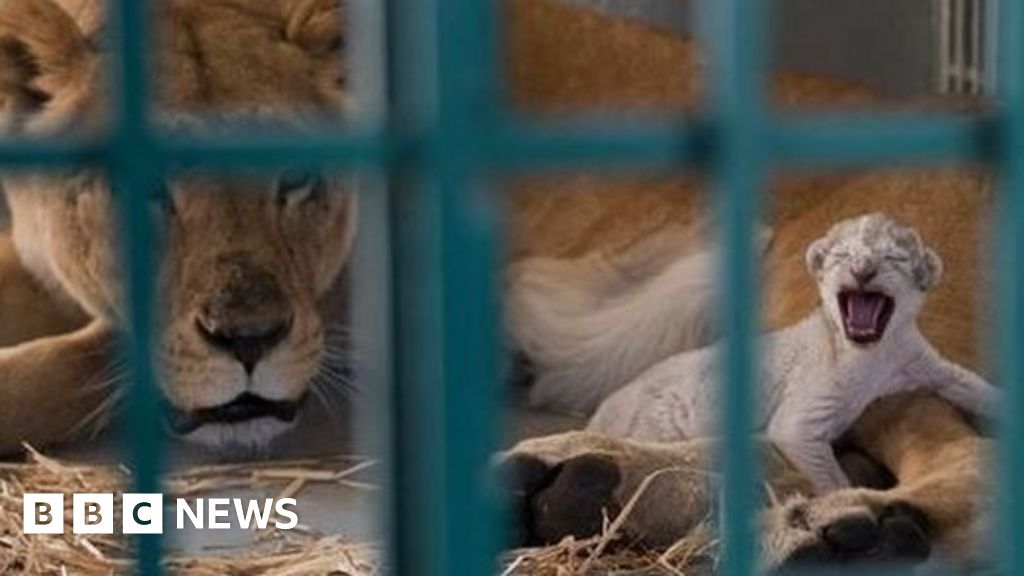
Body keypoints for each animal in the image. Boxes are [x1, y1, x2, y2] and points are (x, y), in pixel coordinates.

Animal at [0, 0, 992, 568]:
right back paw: (588, 488)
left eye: (300, 177)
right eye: (142, 190)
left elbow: (50, 373)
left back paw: (833, 530)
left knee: (960, 467)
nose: (250, 340)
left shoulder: (322, 327)